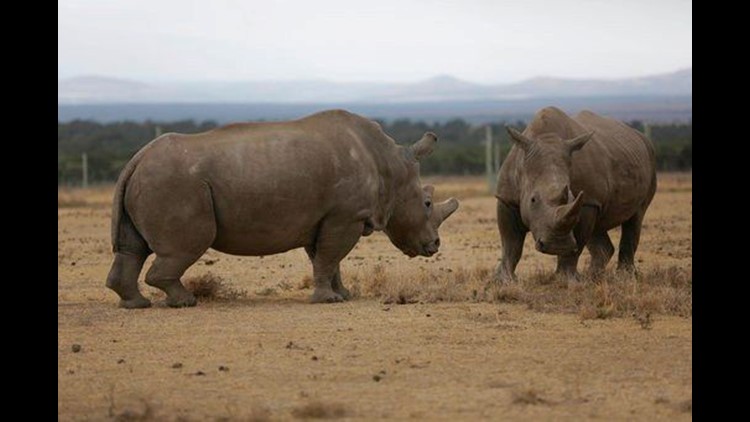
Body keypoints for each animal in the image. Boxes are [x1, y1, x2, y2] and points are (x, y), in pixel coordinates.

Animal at [106, 109, 459, 308]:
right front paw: (328, 301)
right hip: (174, 184)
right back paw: (185, 303)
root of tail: (136, 159)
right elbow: (330, 257)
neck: (392, 166)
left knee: (132, 249)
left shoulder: (325, 218)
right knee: (187, 245)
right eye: (427, 203)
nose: (435, 245)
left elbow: (327, 259)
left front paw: (343, 295)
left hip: (153, 179)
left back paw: (136, 305)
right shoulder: (344, 216)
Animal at [494, 107, 656, 282]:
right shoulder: (507, 198)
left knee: (636, 216)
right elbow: (510, 243)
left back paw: (623, 277)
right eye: (533, 200)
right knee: (599, 229)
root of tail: (641, 137)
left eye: (572, 197)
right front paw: (504, 279)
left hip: (649, 161)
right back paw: (593, 277)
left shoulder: (587, 201)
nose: (556, 246)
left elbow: (577, 241)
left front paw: (565, 280)